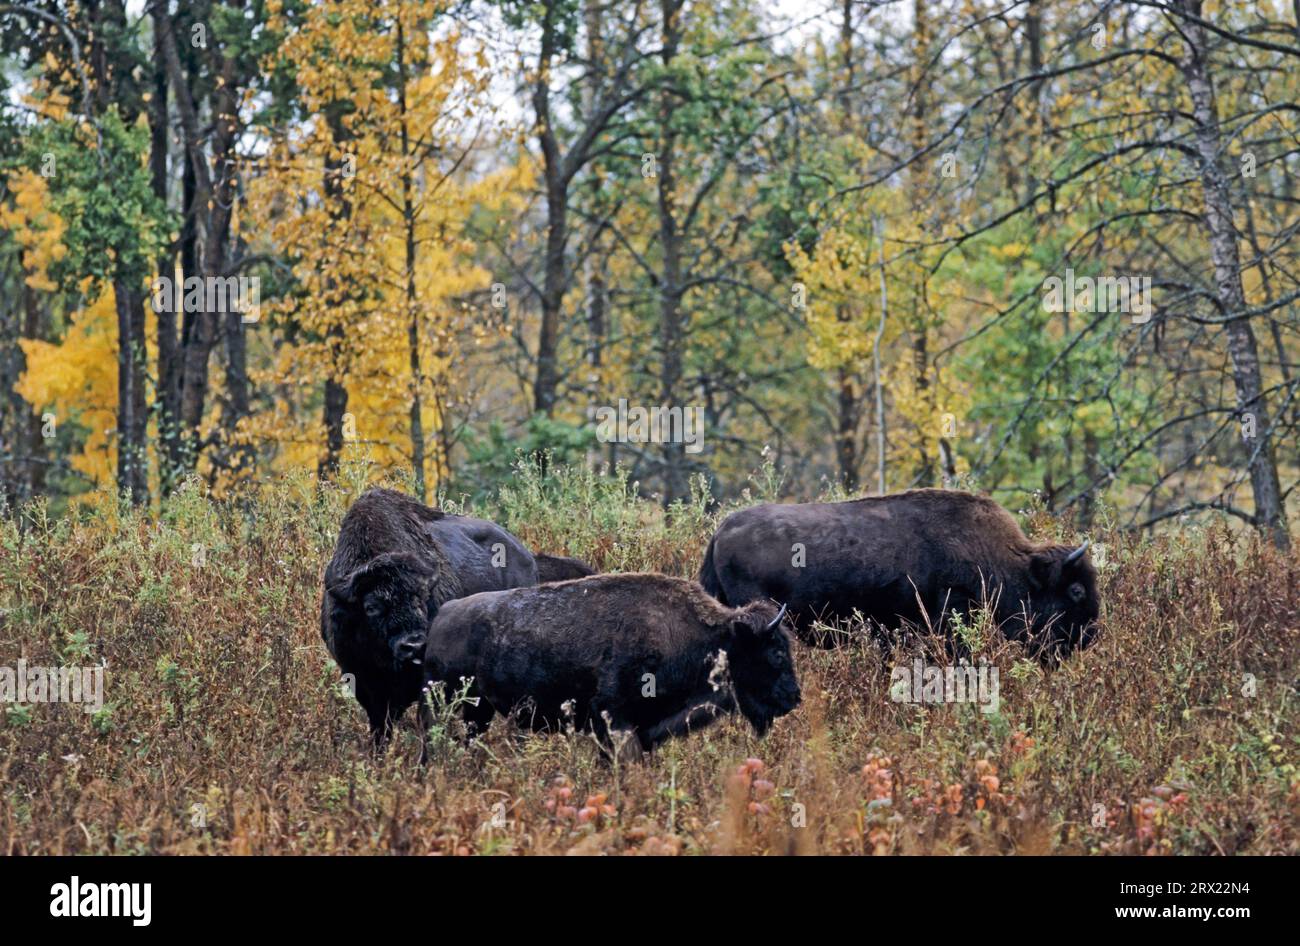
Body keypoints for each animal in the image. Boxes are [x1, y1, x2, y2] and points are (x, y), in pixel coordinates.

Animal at [419, 573, 801, 759]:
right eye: (776, 653)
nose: (795, 699)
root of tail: (442, 615)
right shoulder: (614, 720)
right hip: (443, 706)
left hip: (478, 712)